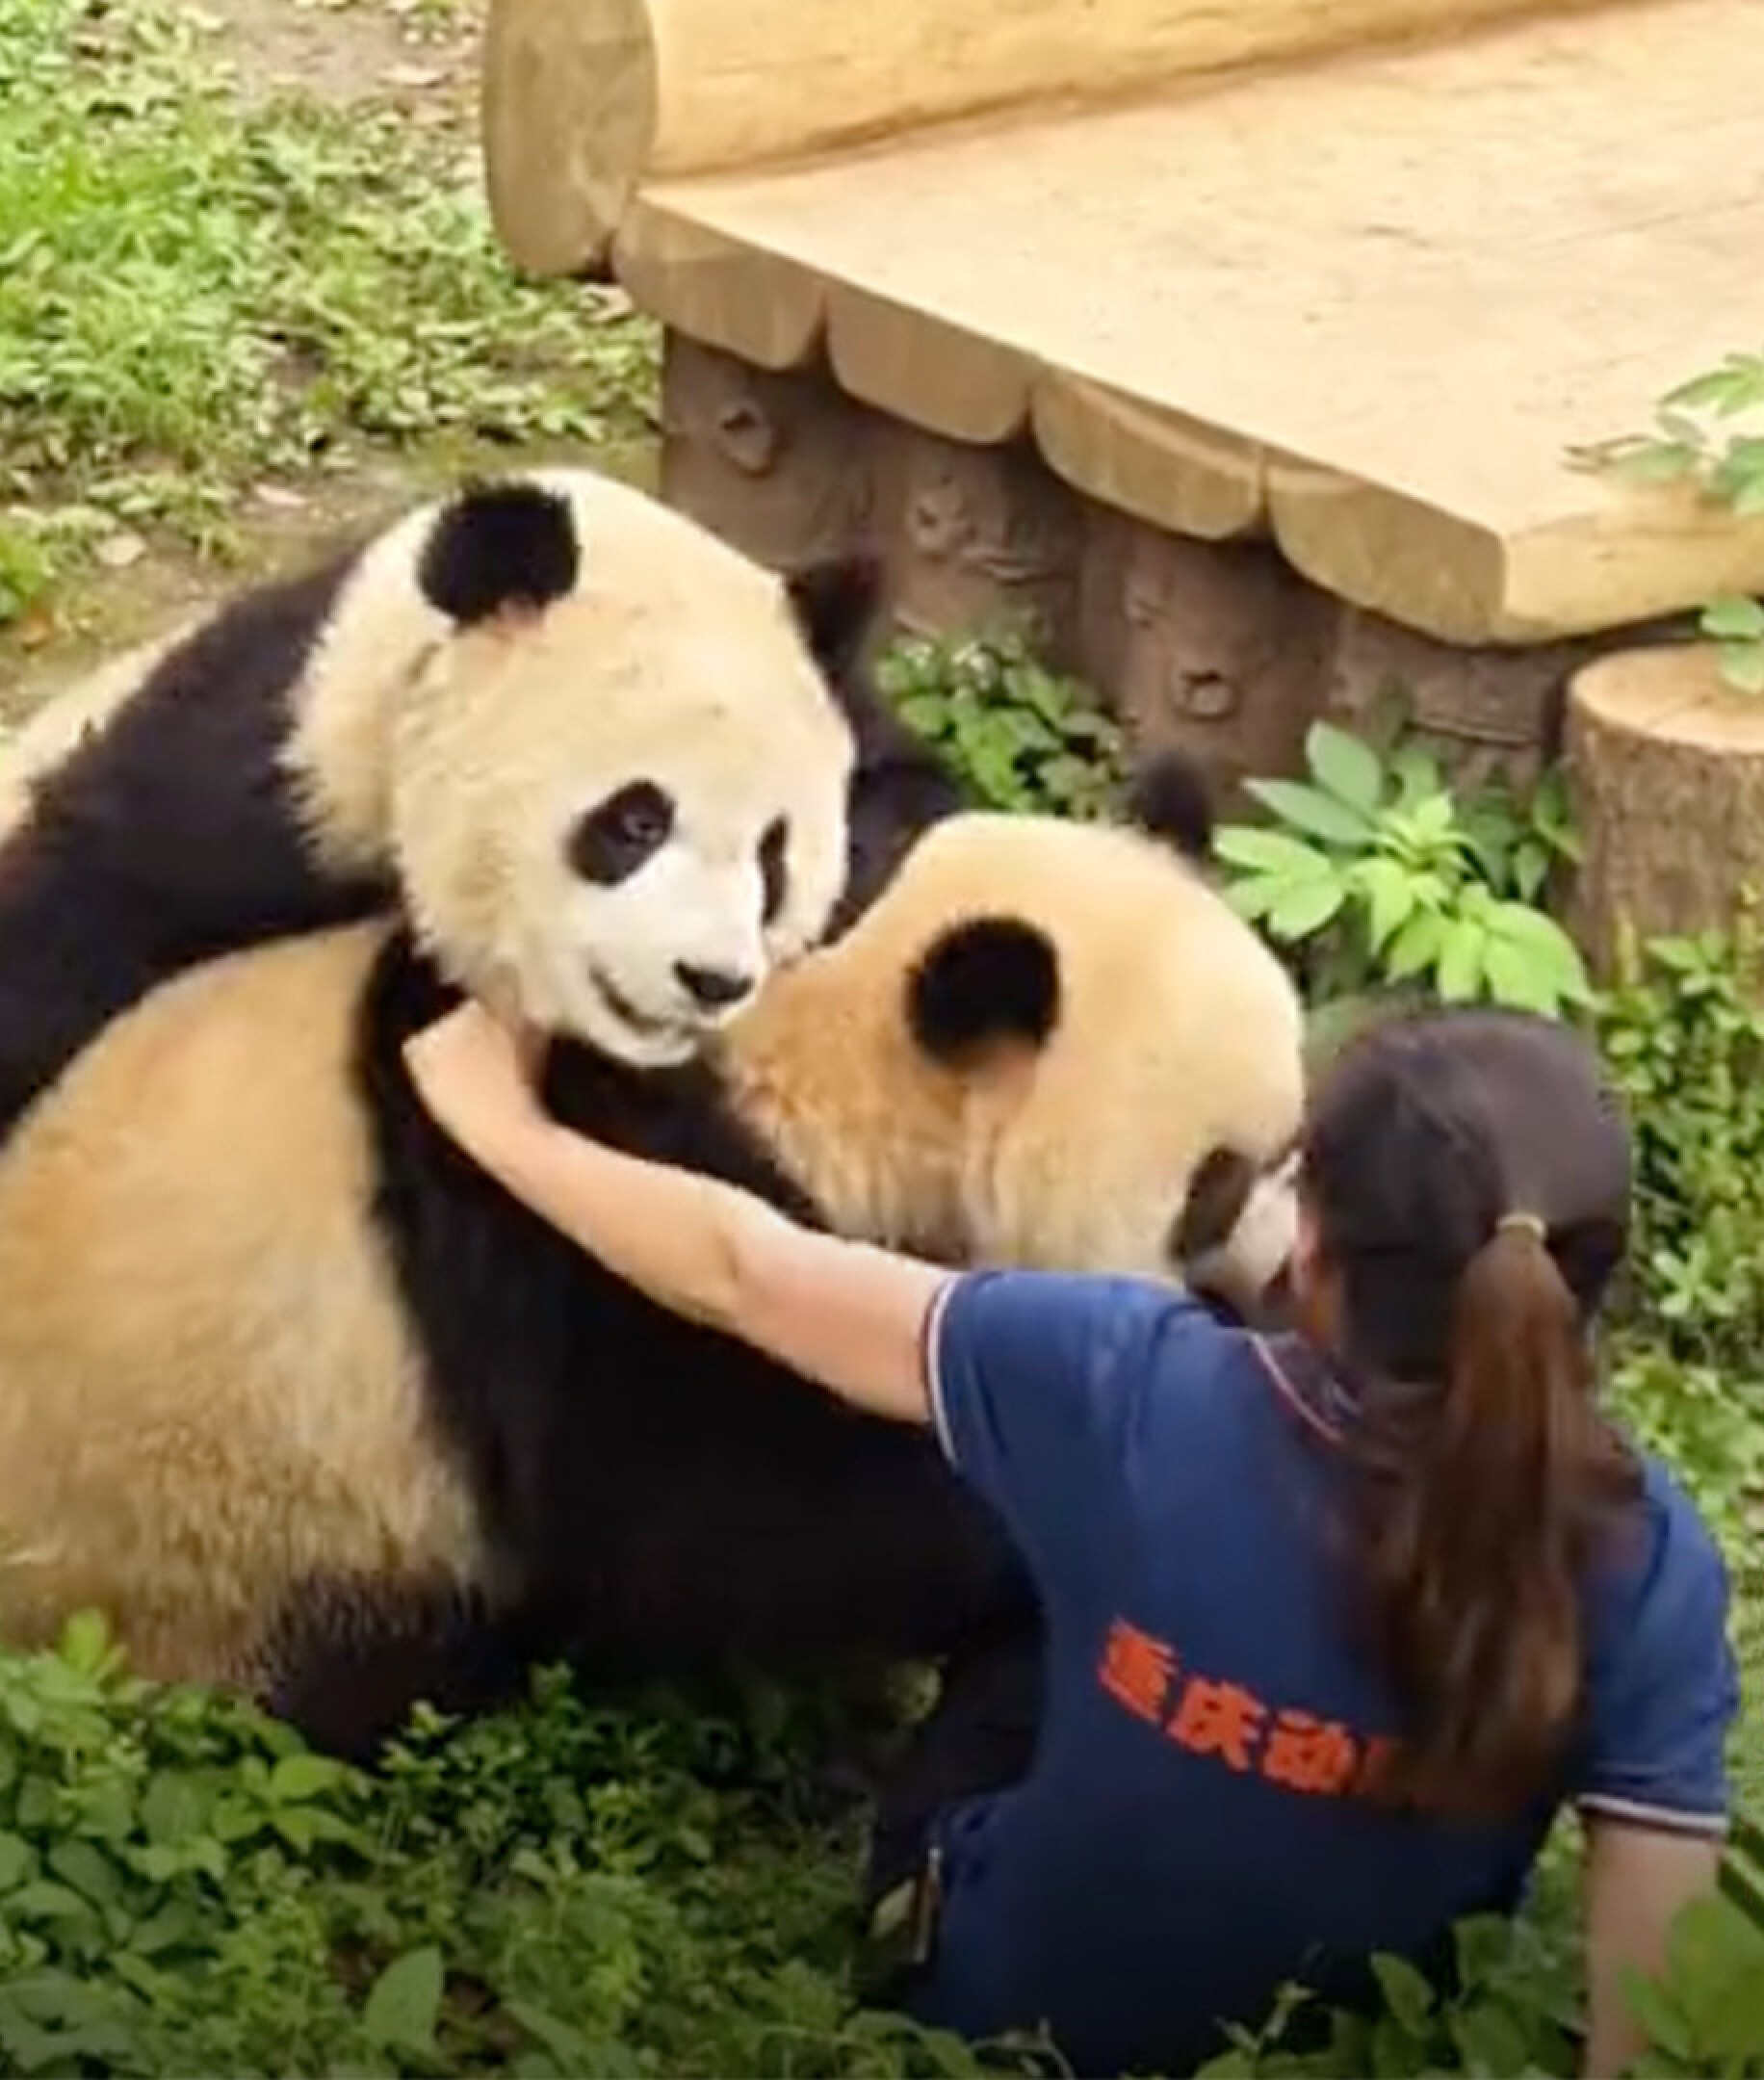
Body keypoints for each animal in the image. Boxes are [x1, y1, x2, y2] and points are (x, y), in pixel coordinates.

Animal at [0, 468, 953, 1136]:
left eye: (773, 853)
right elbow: (90, 891)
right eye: (636, 821)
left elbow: (911, 794)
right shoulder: (284, 762)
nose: (713, 980)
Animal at [0, 775, 1302, 1761]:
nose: (1284, 1281)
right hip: (235, 1542)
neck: (813, 1043)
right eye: (1214, 1185)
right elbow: (731, 1514)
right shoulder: (563, 1259)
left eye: (1291, 1146)